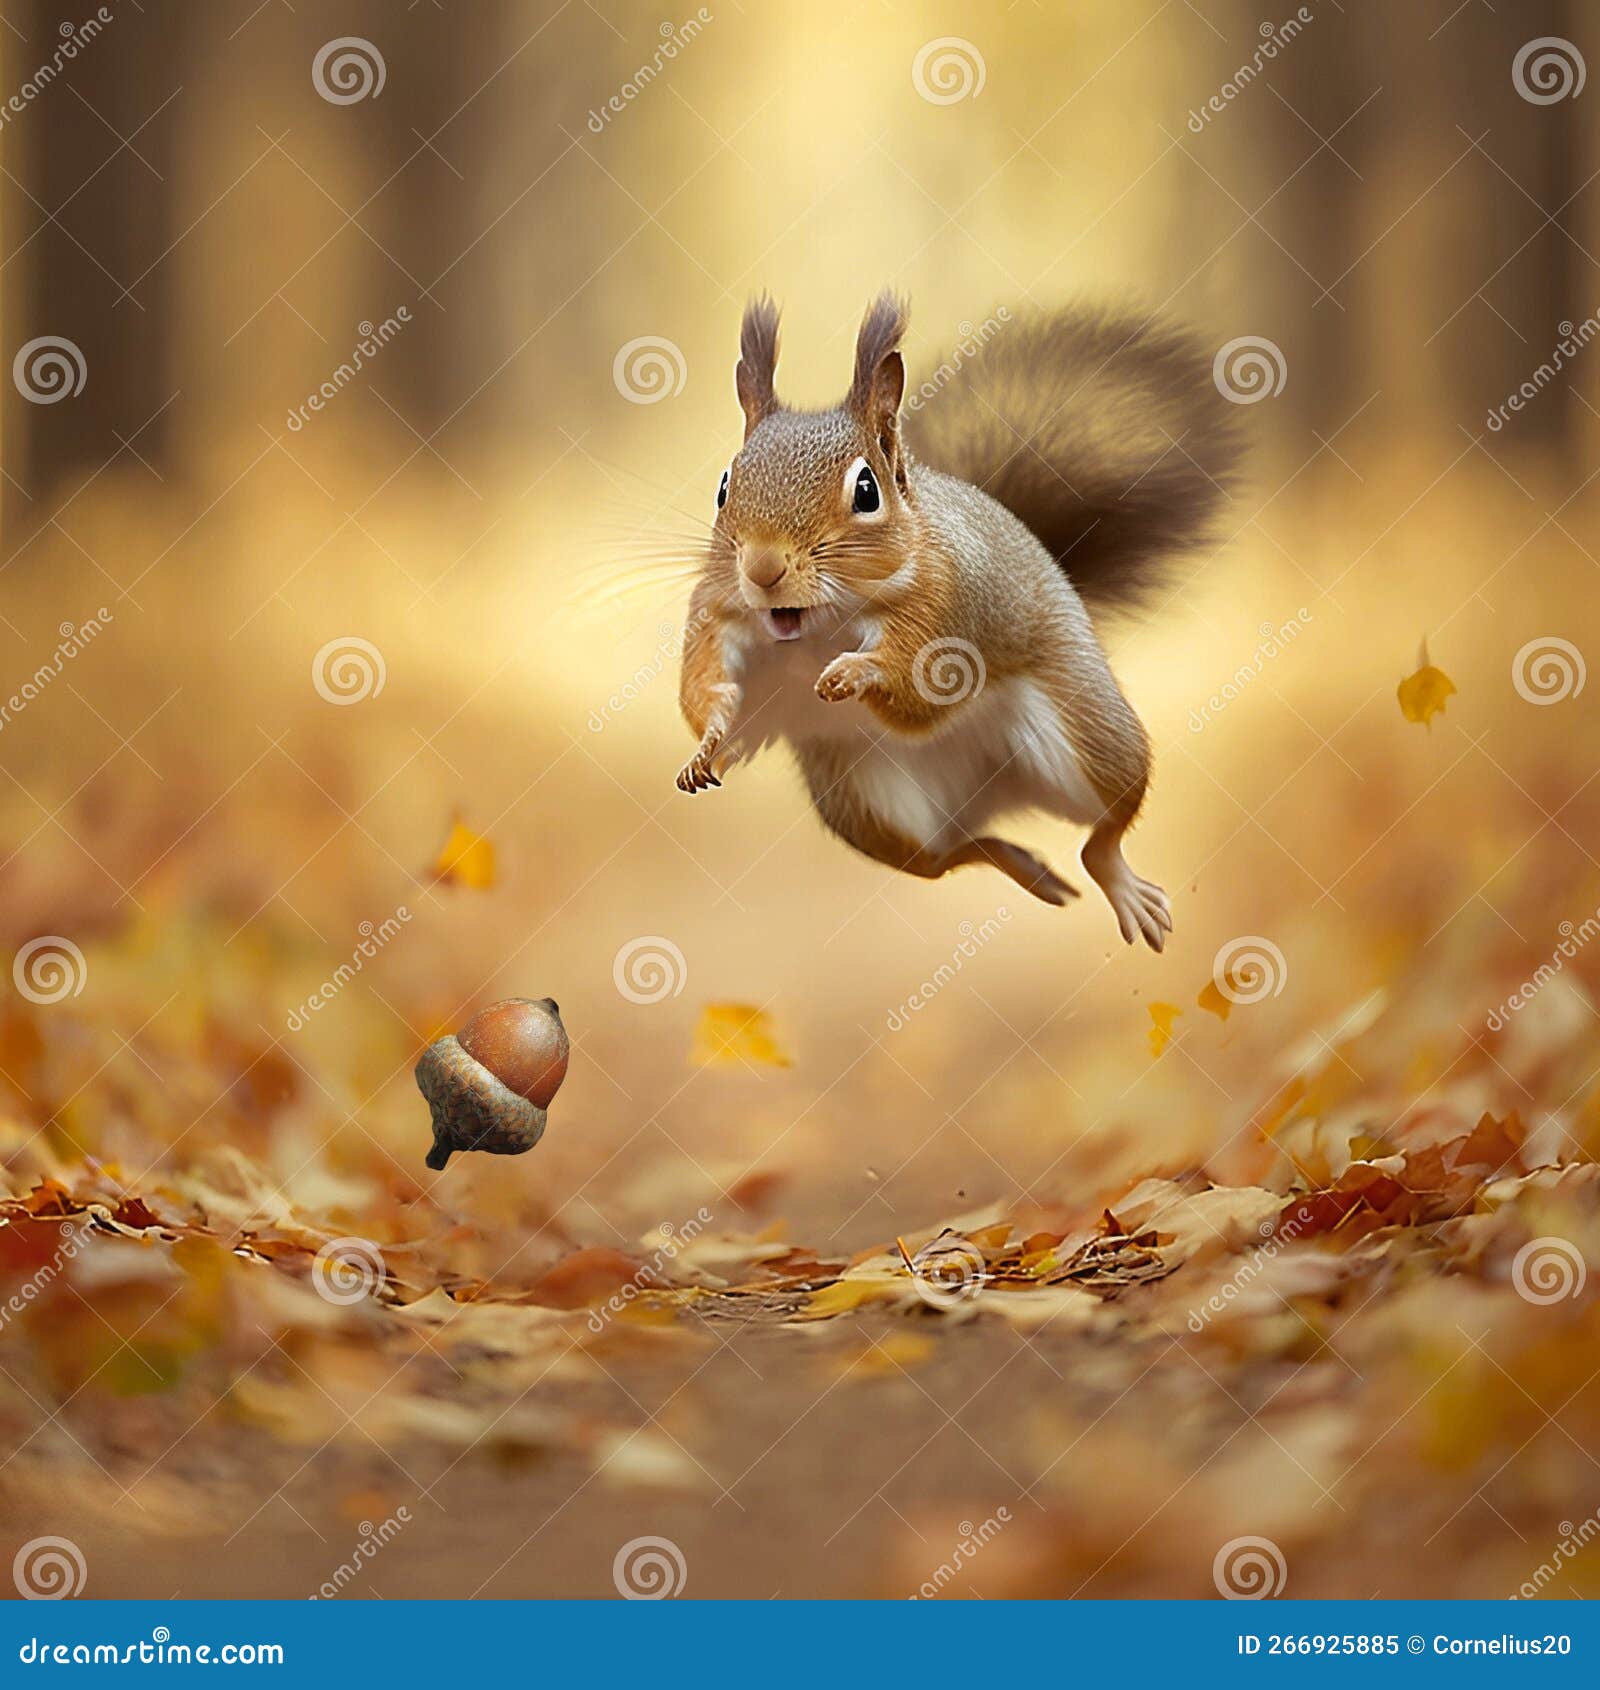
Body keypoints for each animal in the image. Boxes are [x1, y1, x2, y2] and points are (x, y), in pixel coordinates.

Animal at [676, 293, 1241, 951]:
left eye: (866, 490)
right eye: (723, 487)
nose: (763, 568)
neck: (819, 623)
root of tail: (990, 798)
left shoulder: (952, 611)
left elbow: (923, 691)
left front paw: (857, 673)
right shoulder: (718, 614)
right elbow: (707, 688)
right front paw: (708, 747)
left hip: (1097, 739)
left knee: (1103, 834)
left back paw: (1115, 882)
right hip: (869, 809)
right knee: (948, 857)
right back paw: (1019, 864)